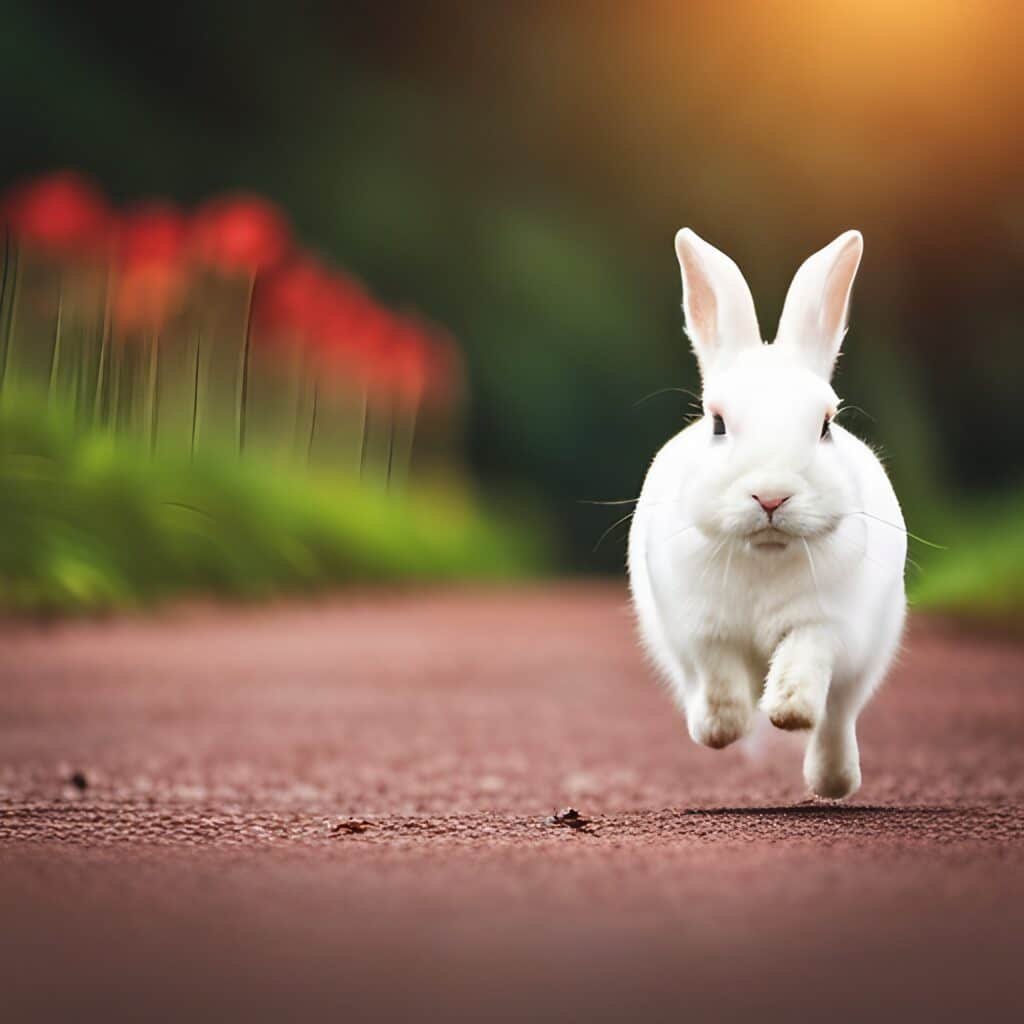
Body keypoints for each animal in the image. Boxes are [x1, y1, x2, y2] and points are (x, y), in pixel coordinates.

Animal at [628, 229, 906, 799]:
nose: (772, 497)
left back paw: (834, 782)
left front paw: (787, 712)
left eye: (826, 425)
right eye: (717, 423)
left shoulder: (827, 622)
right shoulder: (700, 628)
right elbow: (718, 678)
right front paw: (720, 729)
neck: (764, 552)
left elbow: (804, 663)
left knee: (837, 718)